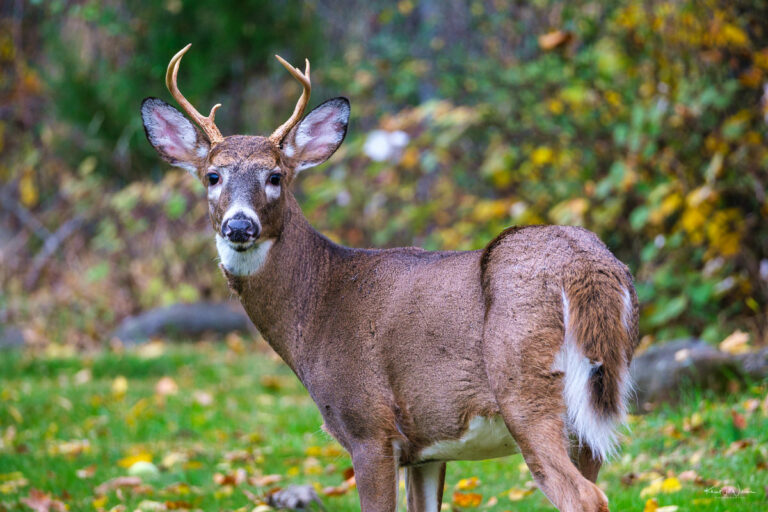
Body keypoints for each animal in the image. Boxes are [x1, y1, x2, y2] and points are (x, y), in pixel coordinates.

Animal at [141, 44, 639, 512]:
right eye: (212, 175)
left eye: (276, 175)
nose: (240, 226)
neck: (317, 307)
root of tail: (587, 267)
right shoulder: (428, 448)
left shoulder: (369, 426)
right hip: (592, 412)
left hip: (525, 385)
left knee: (585, 496)